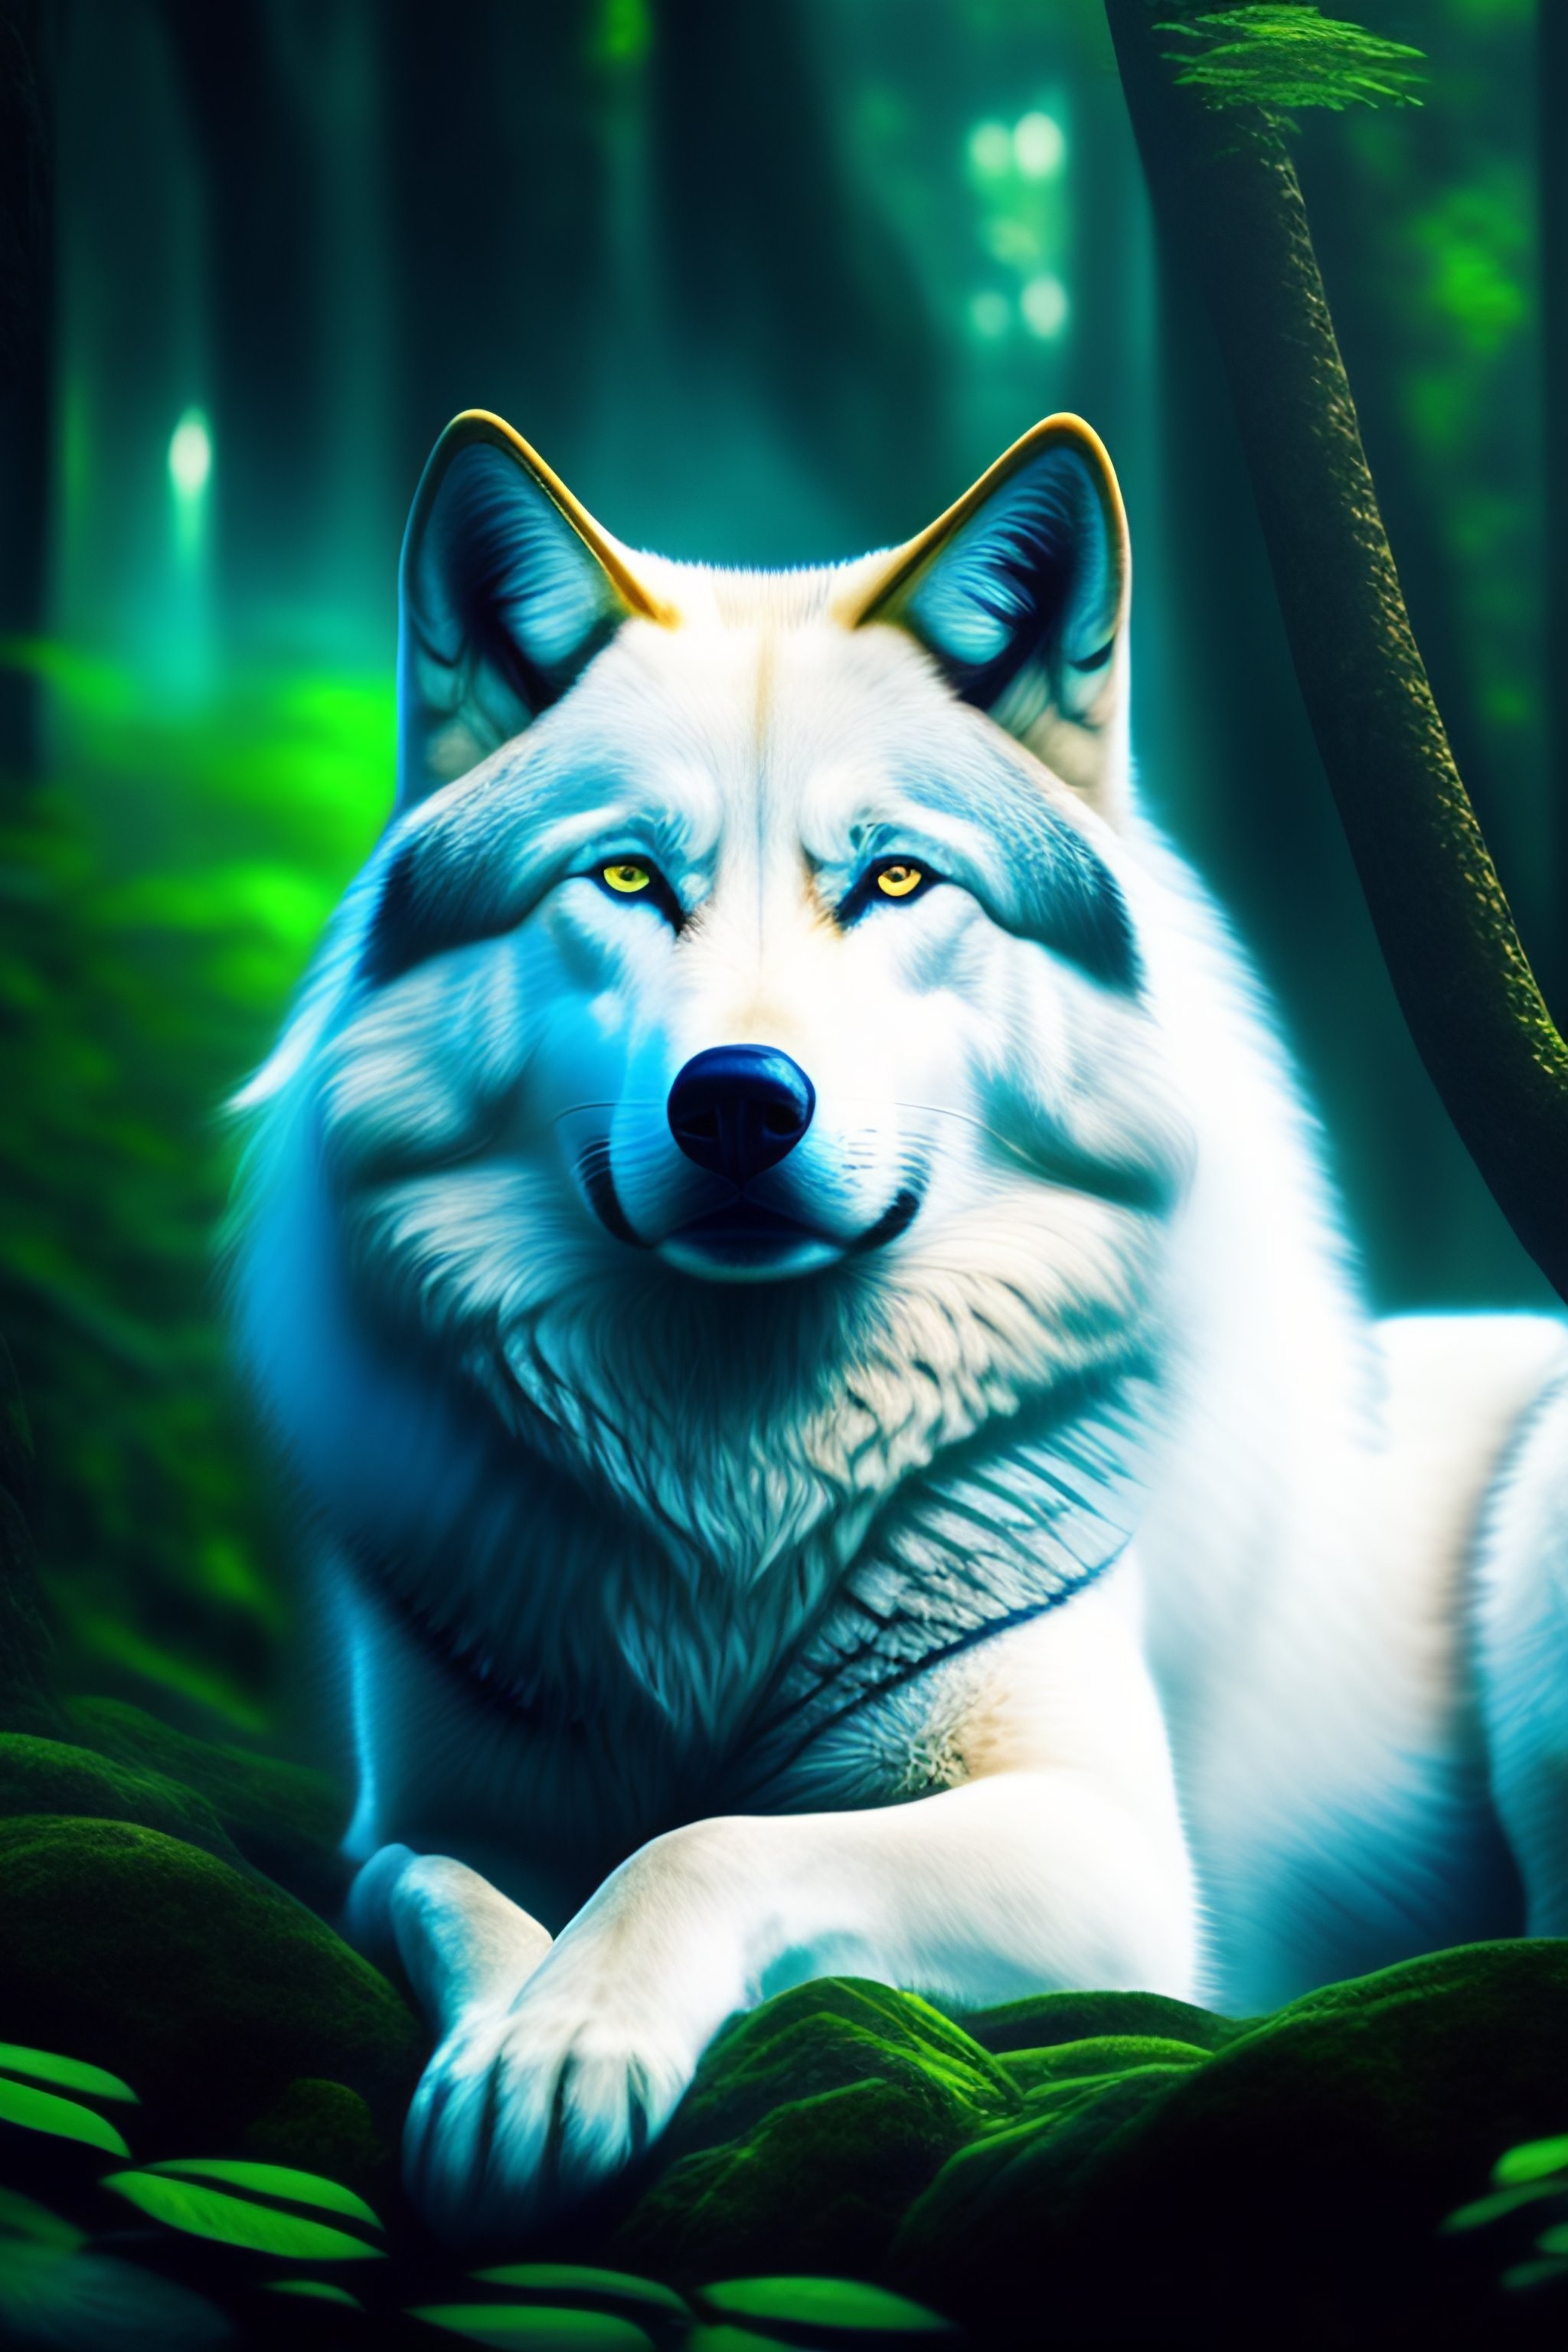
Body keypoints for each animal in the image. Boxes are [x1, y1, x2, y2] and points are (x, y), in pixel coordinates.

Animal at [231, 408, 1568, 2242]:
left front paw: (574, 2040)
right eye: (627, 876)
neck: (728, 1484)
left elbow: (710, 1842)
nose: (738, 1100)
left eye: (893, 879)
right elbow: (455, 1893)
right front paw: (511, 2047)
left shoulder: (1108, 1857)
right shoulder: (405, 1823)